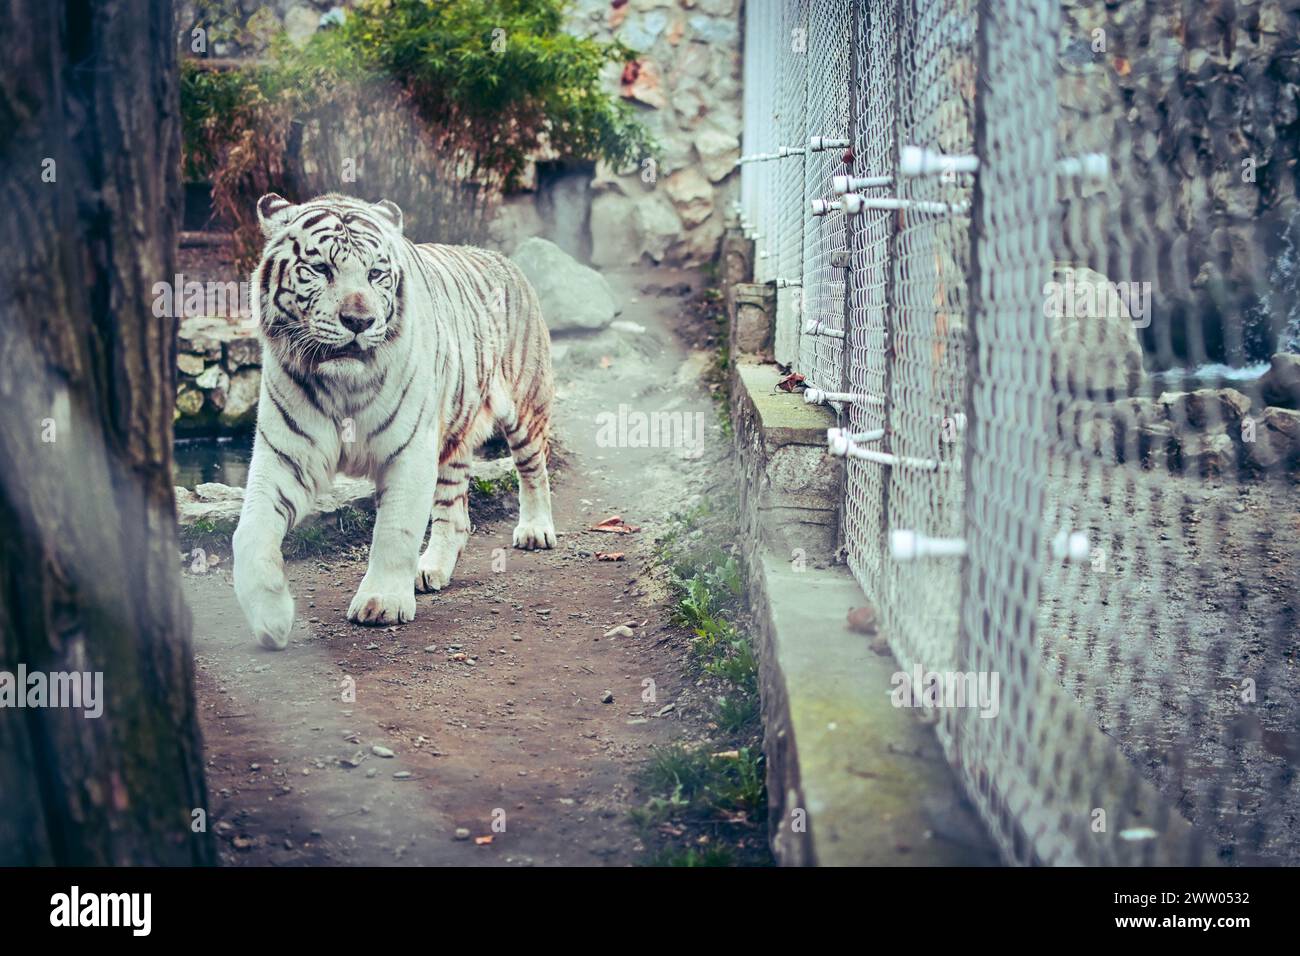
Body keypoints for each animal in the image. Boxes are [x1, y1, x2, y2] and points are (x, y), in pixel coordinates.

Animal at [232, 192, 556, 651]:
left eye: (375, 274)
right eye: (321, 269)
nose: (359, 321)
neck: (342, 386)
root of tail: (503, 259)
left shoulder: (409, 452)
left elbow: (394, 530)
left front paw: (381, 602)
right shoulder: (286, 455)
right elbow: (251, 531)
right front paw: (270, 617)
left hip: (525, 408)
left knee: (534, 470)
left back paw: (535, 530)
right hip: (452, 442)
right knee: (455, 515)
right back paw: (431, 569)